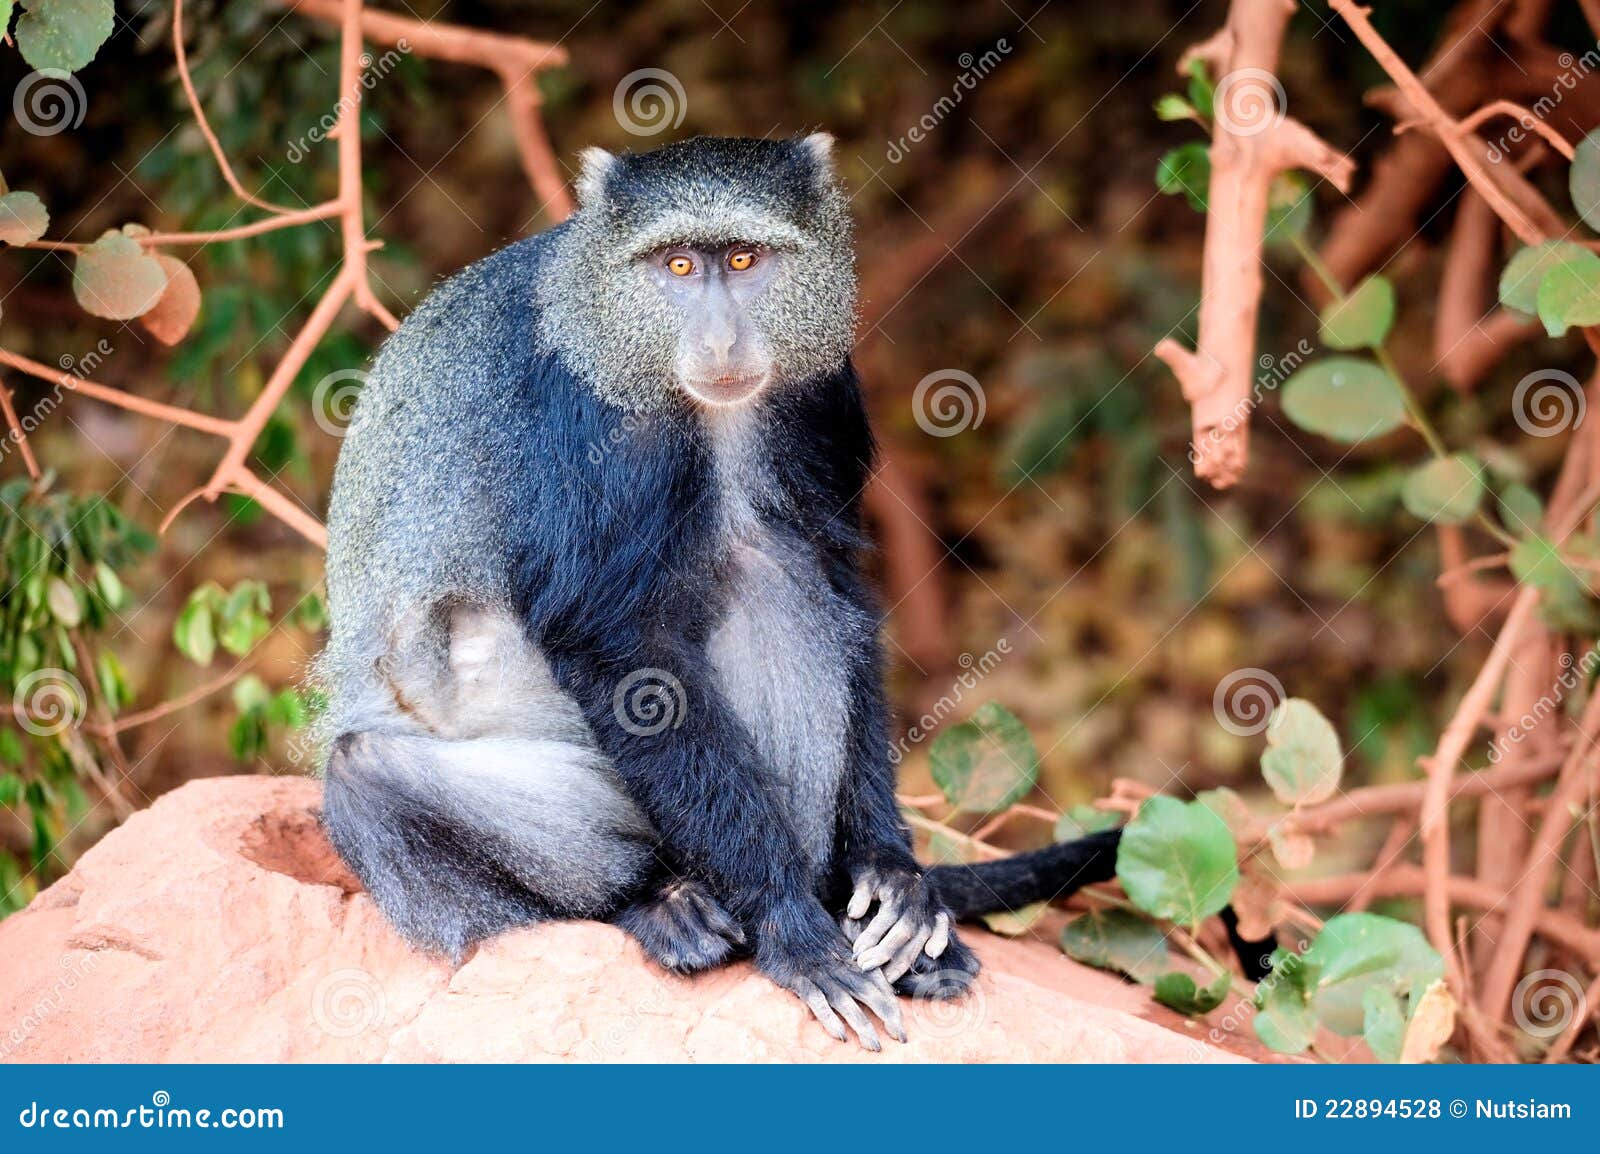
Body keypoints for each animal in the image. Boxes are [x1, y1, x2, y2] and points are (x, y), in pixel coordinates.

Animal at [316, 134, 1156, 1051]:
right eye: (680, 265)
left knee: (775, 573)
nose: (720, 339)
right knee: (365, 774)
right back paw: (660, 902)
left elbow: (835, 579)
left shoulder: (824, 390)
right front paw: (789, 929)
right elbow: (617, 644)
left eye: (745, 259)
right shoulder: (589, 417)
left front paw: (889, 872)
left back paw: (854, 908)